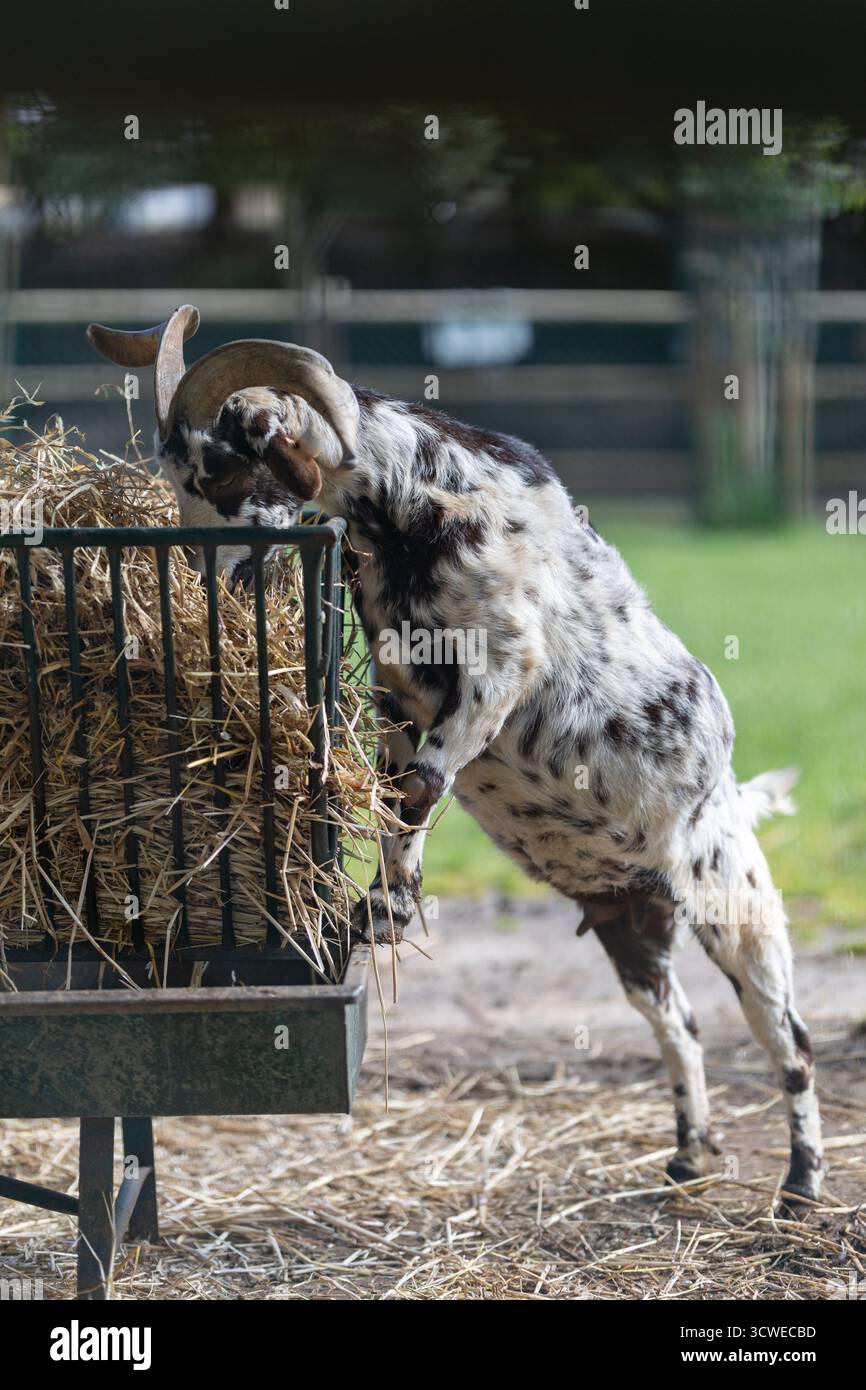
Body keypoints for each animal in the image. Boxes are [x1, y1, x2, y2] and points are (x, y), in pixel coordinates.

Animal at [87, 305, 824, 1205]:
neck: (418, 502)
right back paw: (691, 1154)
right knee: (679, 1023)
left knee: (790, 1041)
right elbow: (402, 799)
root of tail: (730, 793)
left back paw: (801, 1185)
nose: (204, 576)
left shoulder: (498, 670)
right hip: (632, 929)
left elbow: (424, 785)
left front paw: (380, 913)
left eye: (219, 470)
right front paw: (384, 907)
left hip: (737, 907)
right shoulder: (401, 697)